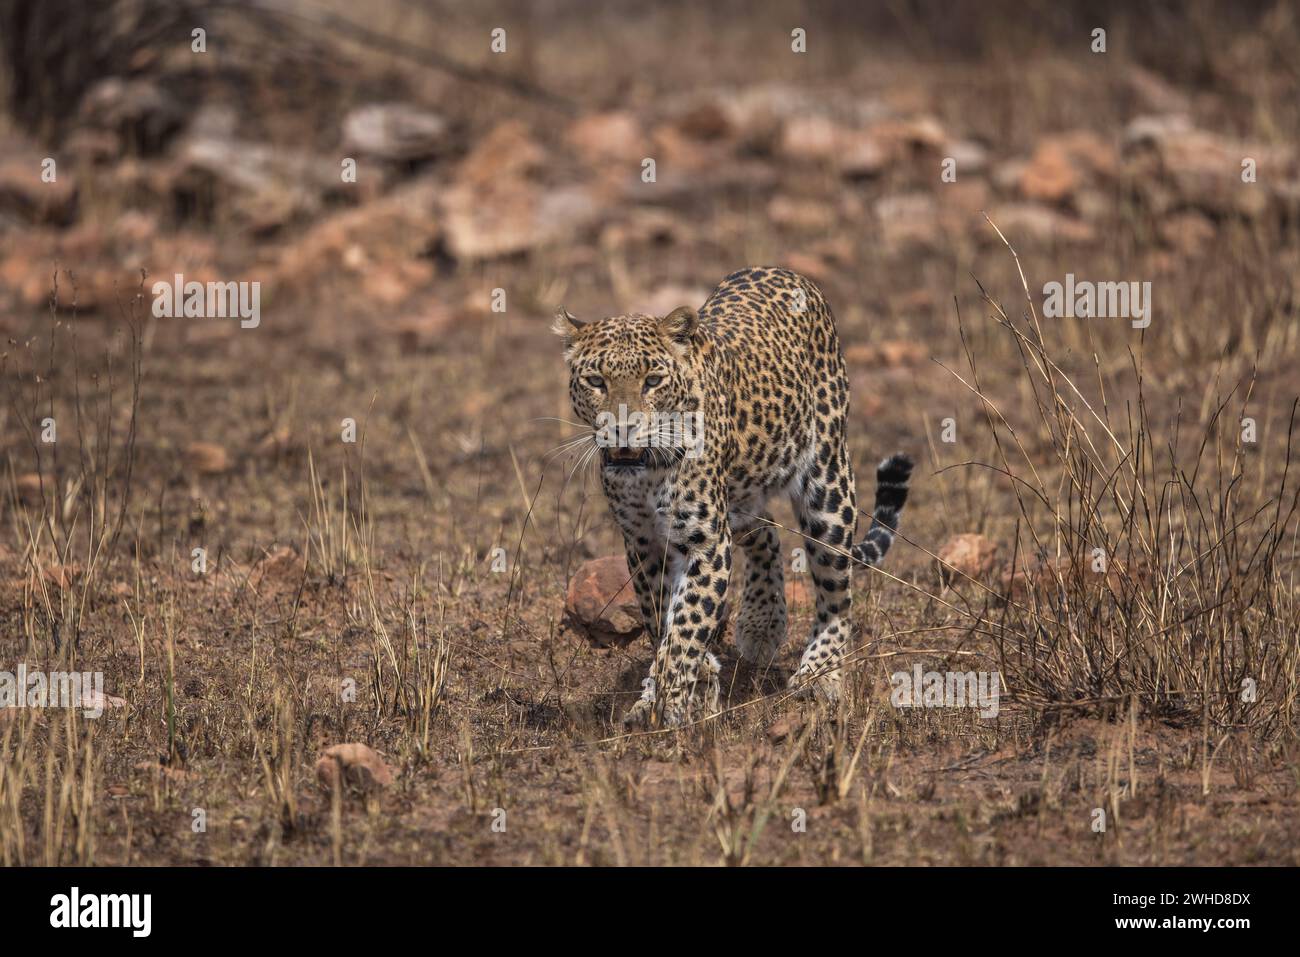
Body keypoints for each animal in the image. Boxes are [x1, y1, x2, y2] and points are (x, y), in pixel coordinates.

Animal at [554, 266, 913, 729]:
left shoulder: (705, 541)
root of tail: (783, 270)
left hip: (827, 485)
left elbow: (685, 625)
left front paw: (671, 701)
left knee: (836, 590)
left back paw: (820, 674)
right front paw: (684, 684)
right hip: (739, 499)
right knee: (767, 532)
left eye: (653, 380)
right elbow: (660, 620)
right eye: (596, 381)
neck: (646, 476)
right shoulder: (642, 544)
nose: (623, 429)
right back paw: (762, 625)